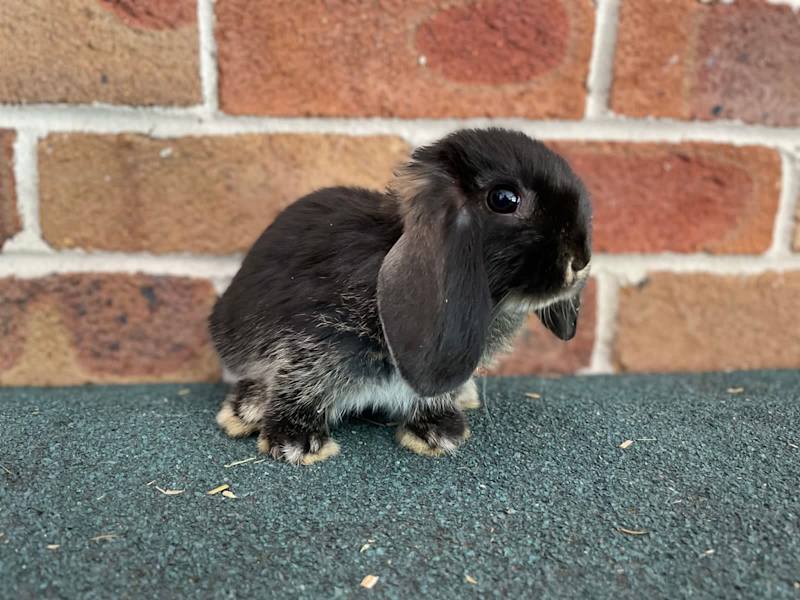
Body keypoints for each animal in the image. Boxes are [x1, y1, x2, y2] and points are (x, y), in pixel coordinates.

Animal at [209, 127, 592, 465]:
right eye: (504, 199)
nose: (580, 262)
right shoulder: (308, 344)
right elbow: (298, 383)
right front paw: (296, 442)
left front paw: (439, 432)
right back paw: (248, 410)